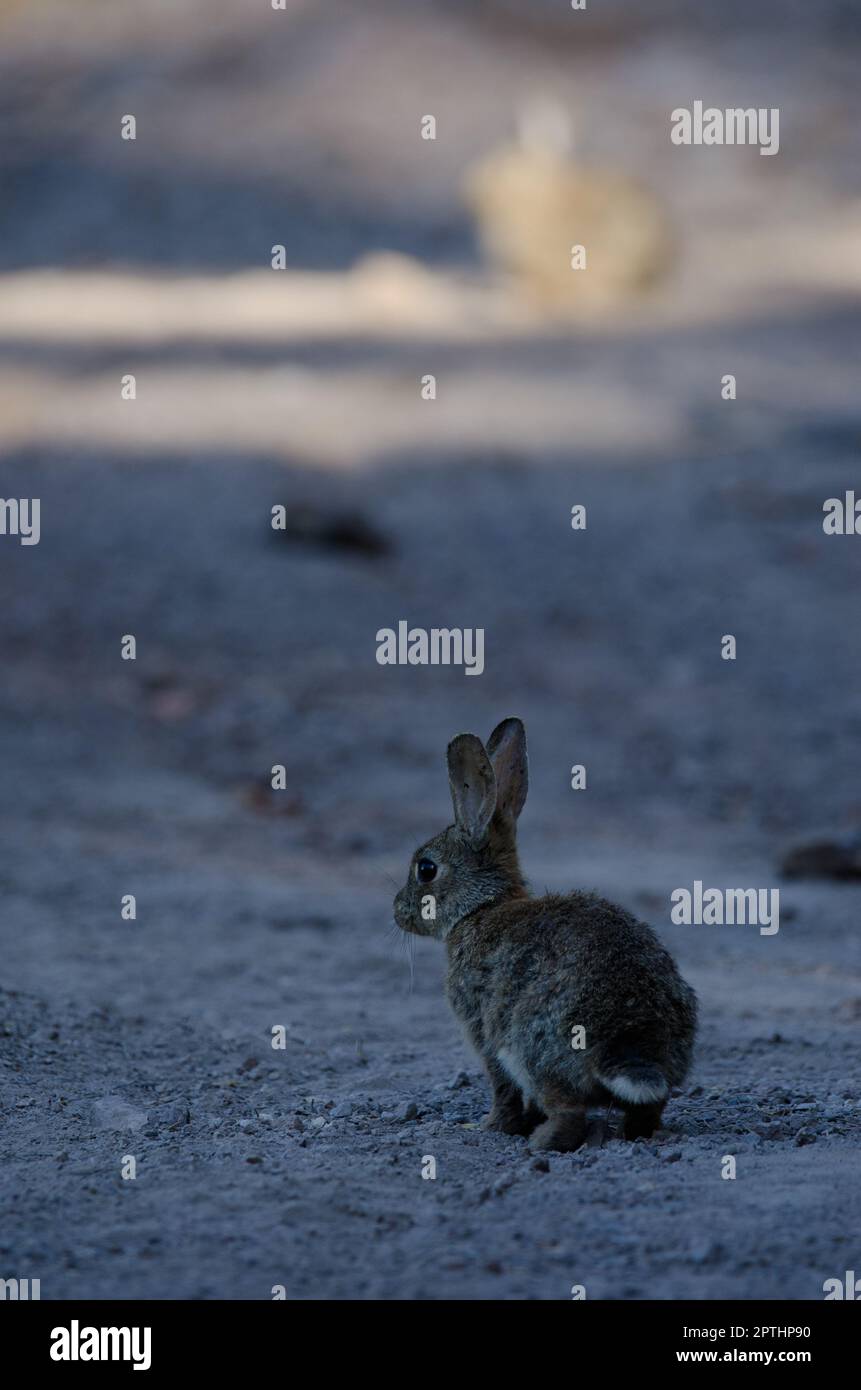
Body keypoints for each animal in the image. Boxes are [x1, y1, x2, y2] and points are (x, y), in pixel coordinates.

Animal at [393, 718, 697, 1152]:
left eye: (426, 869)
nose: (398, 912)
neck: (482, 907)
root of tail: (628, 1038)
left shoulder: (483, 1032)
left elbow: (501, 1089)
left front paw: (489, 1127)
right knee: (646, 1113)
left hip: (529, 1047)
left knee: (567, 1113)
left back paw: (538, 1141)